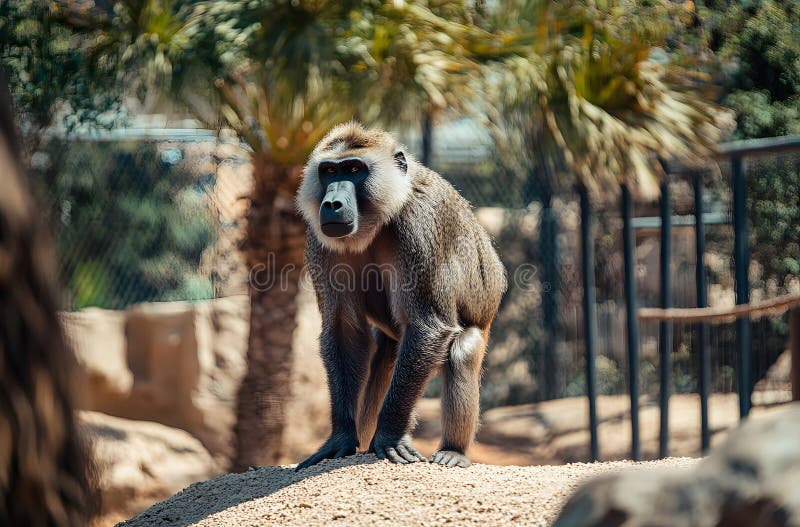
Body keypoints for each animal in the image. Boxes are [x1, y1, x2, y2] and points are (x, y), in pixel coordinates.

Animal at [295, 122, 506, 469]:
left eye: (354, 170)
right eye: (329, 171)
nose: (332, 203)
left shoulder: (418, 225)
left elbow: (428, 327)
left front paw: (390, 436)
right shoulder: (320, 241)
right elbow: (344, 331)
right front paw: (341, 437)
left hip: (480, 323)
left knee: (461, 352)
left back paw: (454, 450)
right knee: (381, 360)